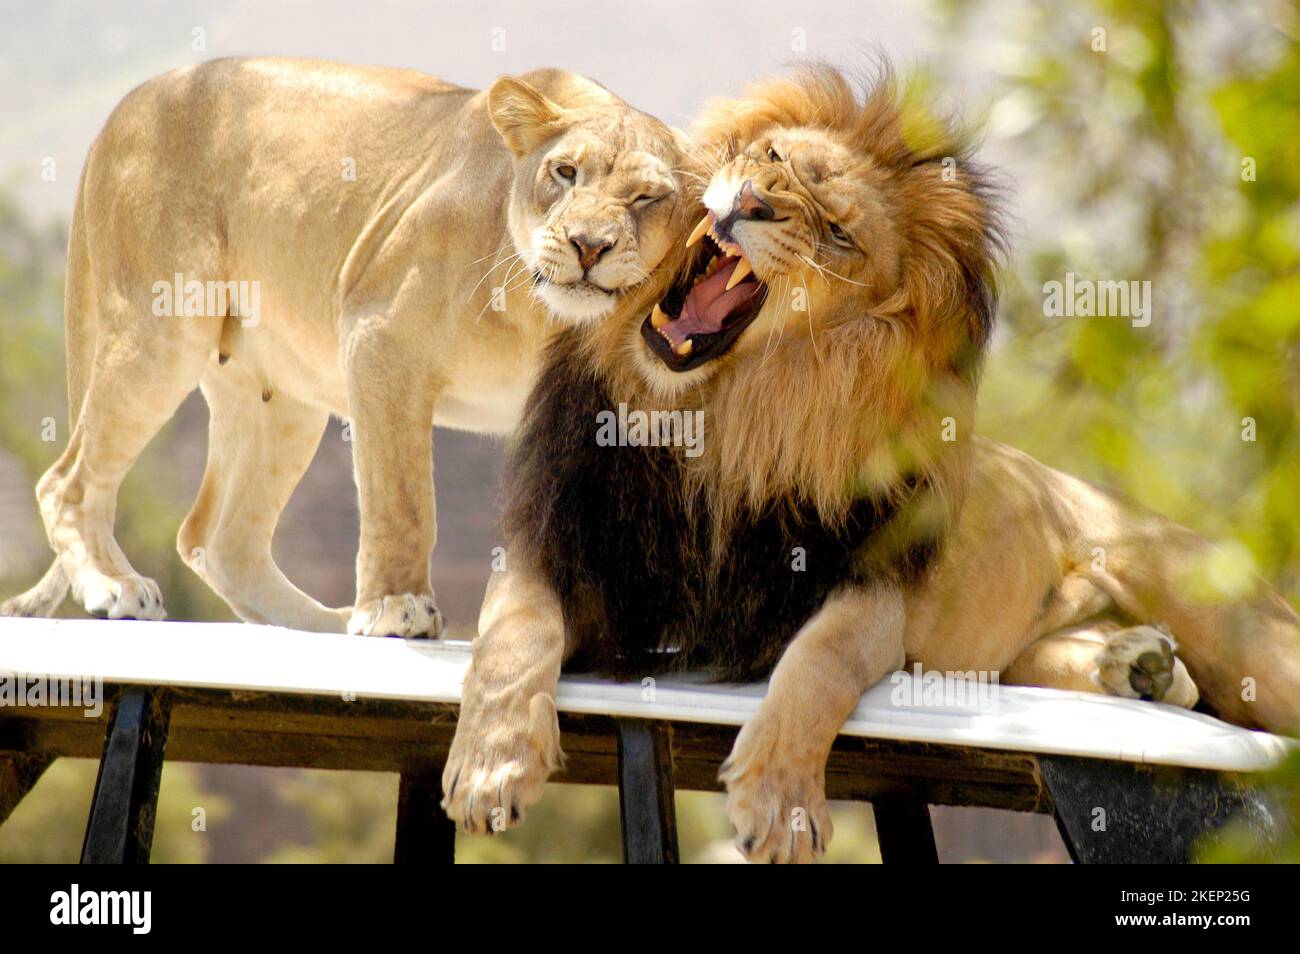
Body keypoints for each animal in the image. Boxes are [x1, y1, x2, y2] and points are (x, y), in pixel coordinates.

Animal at [0, 57, 686, 637]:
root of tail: (127, 106)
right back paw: (114, 585)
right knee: (66, 481)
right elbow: (401, 498)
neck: (549, 320)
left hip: (282, 402)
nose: (588, 245)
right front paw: (396, 608)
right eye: (565, 173)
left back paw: (323, 624)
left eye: (647, 197)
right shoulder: (380, 338)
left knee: (217, 540)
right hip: (160, 330)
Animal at [442, 65, 1300, 861]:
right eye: (771, 156)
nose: (750, 203)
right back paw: (1138, 666)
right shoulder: (558, 547)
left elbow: (818, 664)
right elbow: (514, 635)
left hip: (1246, 634)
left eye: (837, 231)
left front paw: (780, 799)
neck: (718, 418)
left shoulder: (868, 584)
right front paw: (491, 765)